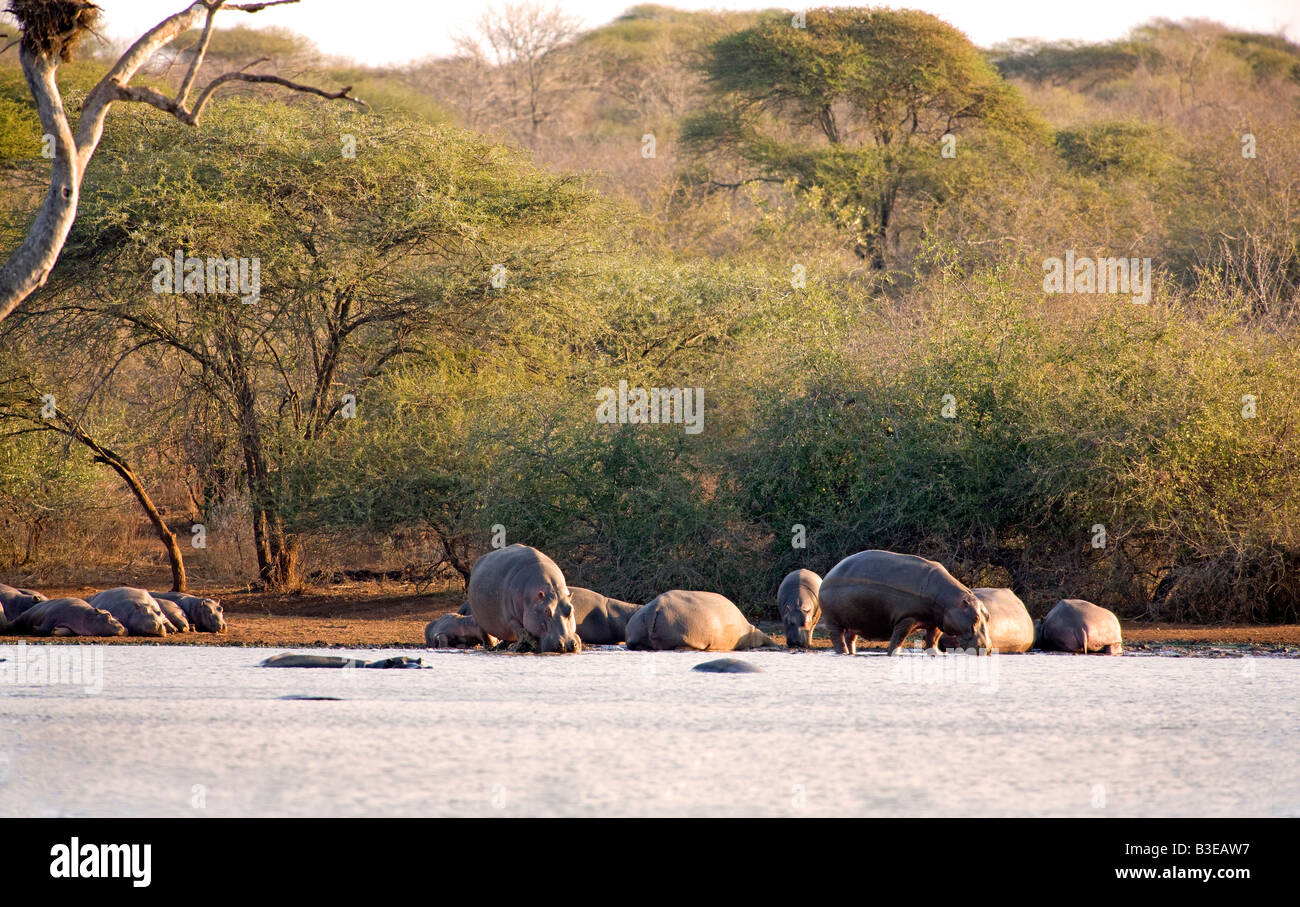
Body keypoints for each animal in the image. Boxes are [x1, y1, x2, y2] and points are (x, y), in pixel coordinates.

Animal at [817, 550, 991, 655]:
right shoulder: (906, 619)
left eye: (988, 617)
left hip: (854, 621)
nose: (988, 648)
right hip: (833, 622)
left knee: (850, 637)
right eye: (975, 618)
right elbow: (898, 639)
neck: (948, 600)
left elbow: (932, 640)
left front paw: (935, 654)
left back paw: (852, 653)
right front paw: (893, 654)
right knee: (837, 639)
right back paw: (843, 653)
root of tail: (828, 575)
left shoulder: (937, 621)